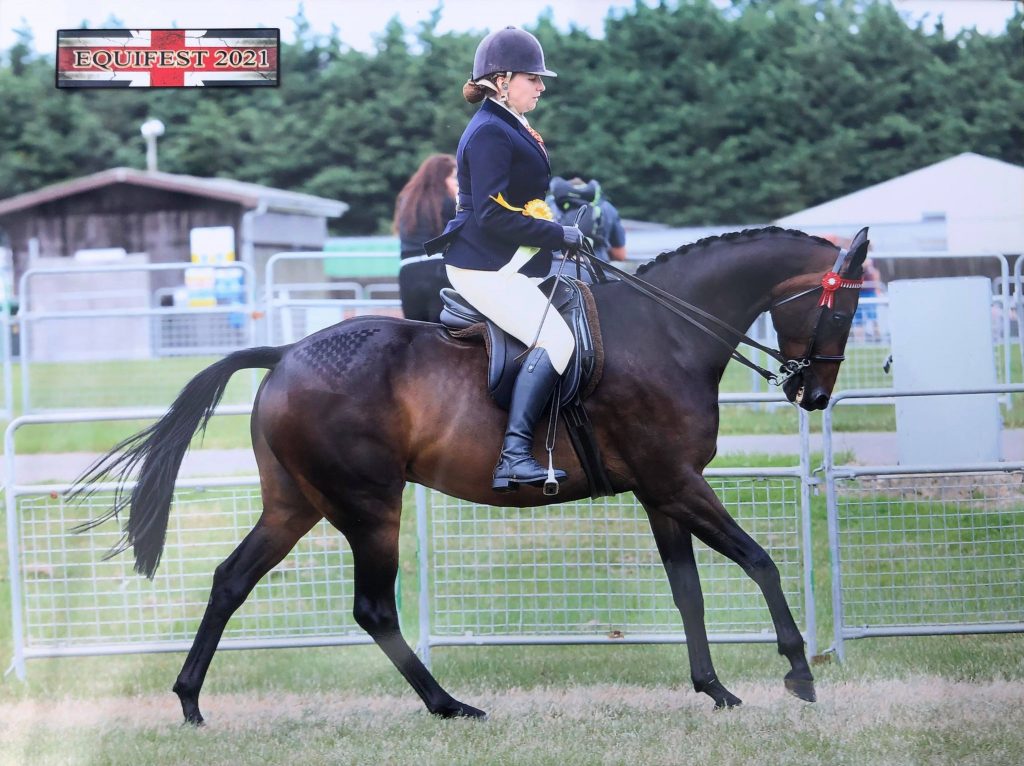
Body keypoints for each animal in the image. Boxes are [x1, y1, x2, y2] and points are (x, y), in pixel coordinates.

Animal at [71, 225, 868, 723]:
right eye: (846, 305)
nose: (814, 394)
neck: (665, 332)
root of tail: (288, 352)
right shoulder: (676, 483)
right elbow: (759, 560)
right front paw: (798, 672)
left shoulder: (659, 492)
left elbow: (689, 593)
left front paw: (715, 690)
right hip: (370, 506)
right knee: (374, 609)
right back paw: (449, 705)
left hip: (295, 505)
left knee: (231, 580)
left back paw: (190, 700)